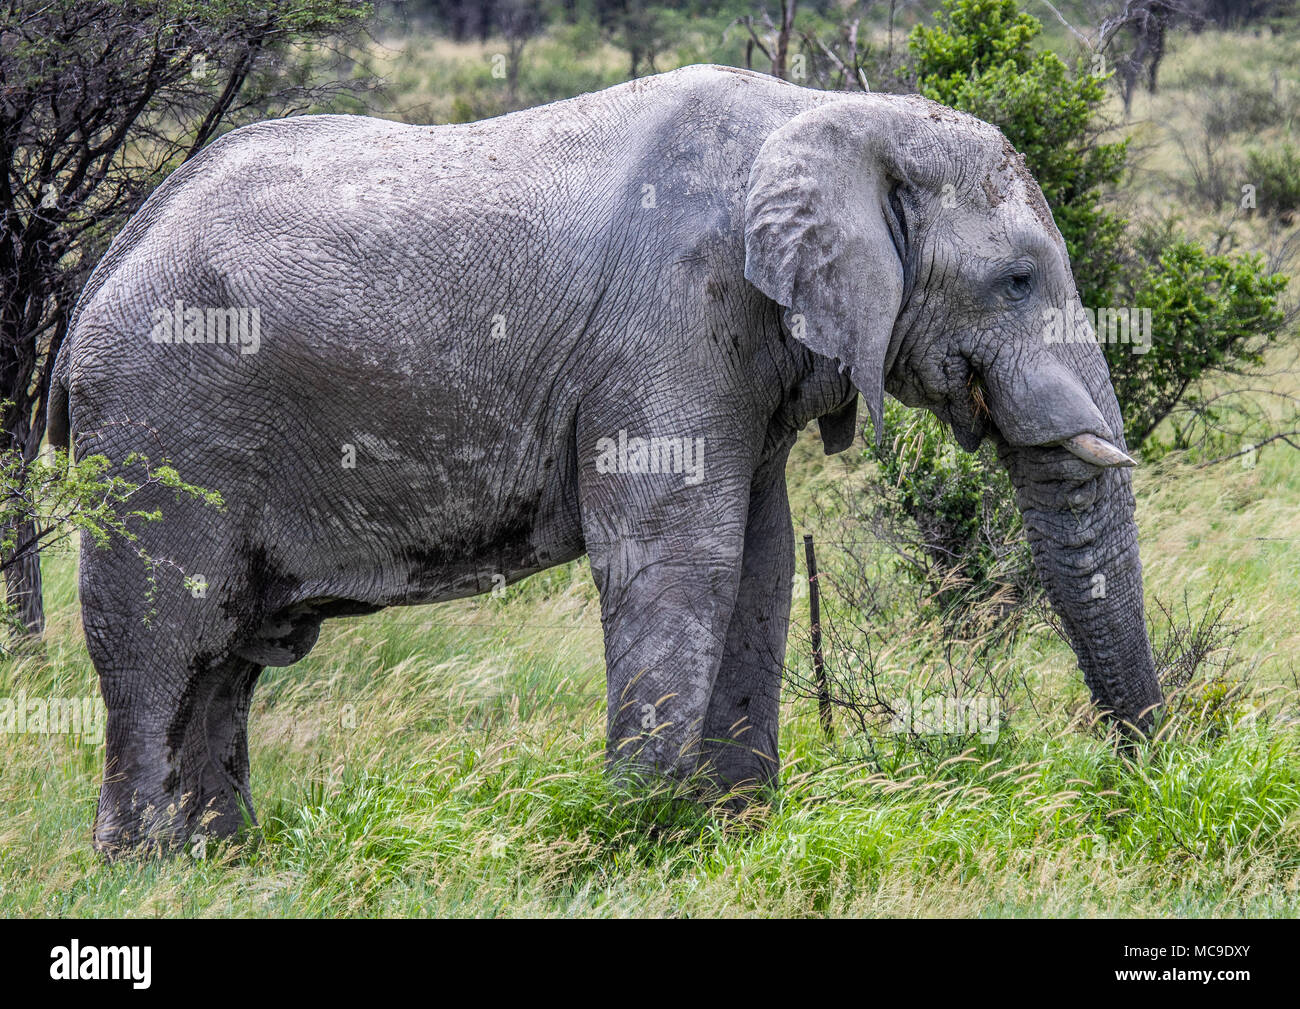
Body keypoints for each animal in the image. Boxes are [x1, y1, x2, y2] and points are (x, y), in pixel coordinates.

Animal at [47, 64, 1163, 854]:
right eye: (1017, 279)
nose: (1142, 781)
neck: (831, 114)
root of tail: (103, 270)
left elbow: (757, 562)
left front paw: (735, 832)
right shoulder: (670, 318)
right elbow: (682, 555)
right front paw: (640, 831)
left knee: (226, 662)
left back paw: (224, 865)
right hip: (158, 422)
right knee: (166, 643)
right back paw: (143, 870)